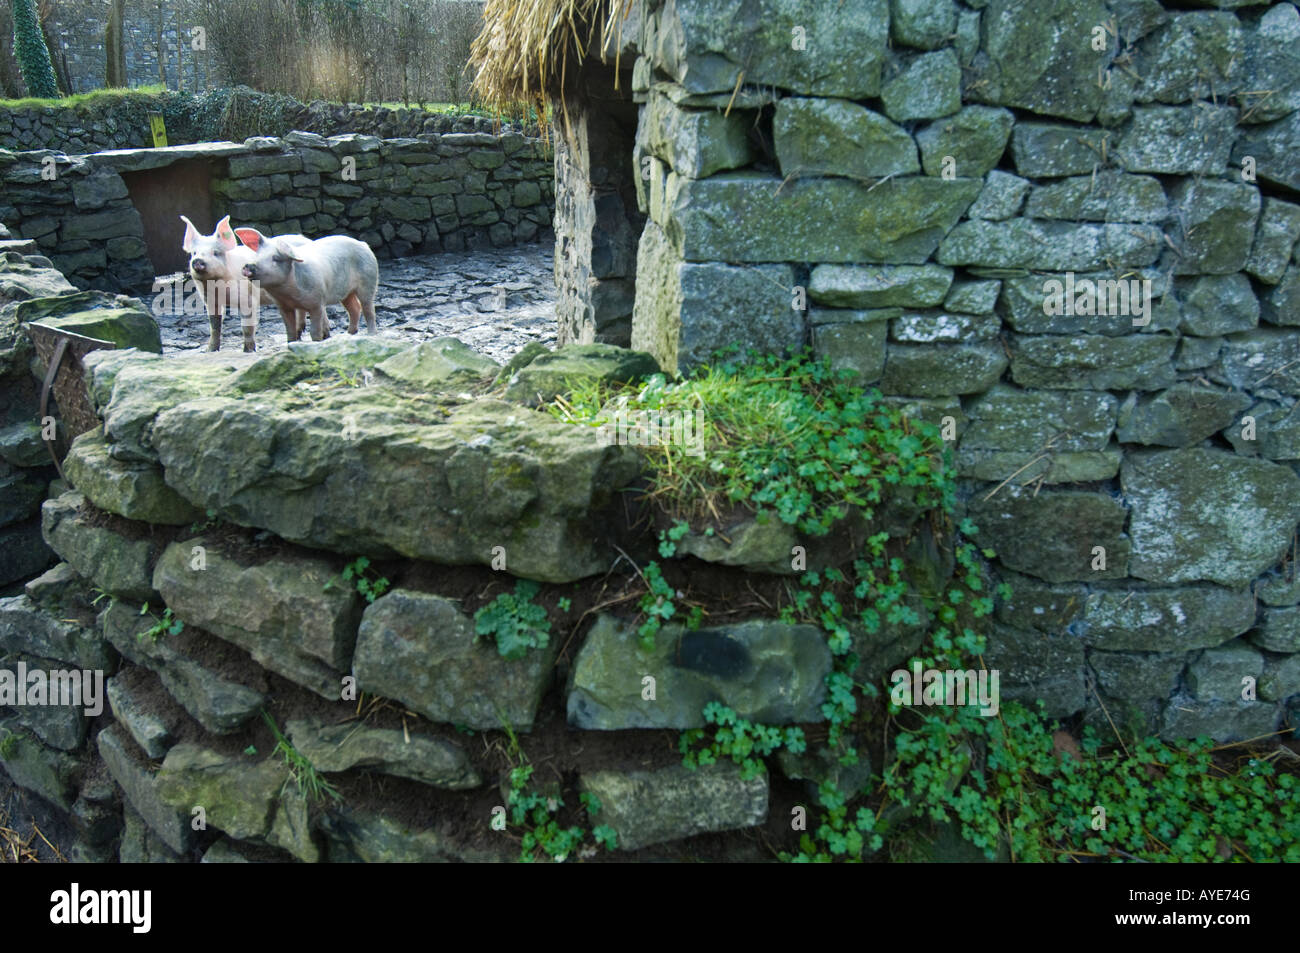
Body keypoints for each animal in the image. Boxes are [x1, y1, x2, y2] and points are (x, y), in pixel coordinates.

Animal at [179, 215, 309, 351]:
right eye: (194, 253)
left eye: (215, 252)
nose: (197, 260)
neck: (219, 290)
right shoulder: (210, 301)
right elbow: (214, 326)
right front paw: (209, 350)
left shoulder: (248, 298)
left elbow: (247, 327)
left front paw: (248, 351)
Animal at [235, 229, 379, 342]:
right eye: (257, 255)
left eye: (276, 258)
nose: (249, 266)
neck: (287, 293)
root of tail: (363, 244)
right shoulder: (283, 306)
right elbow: (290, 331)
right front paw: (291, 343)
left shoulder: (317, 302)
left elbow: (314, 331)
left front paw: (317, 341)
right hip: (346, 293)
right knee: (355, 308)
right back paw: (349, 334)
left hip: (369, 281)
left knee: (368, 309)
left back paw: (371, 334)